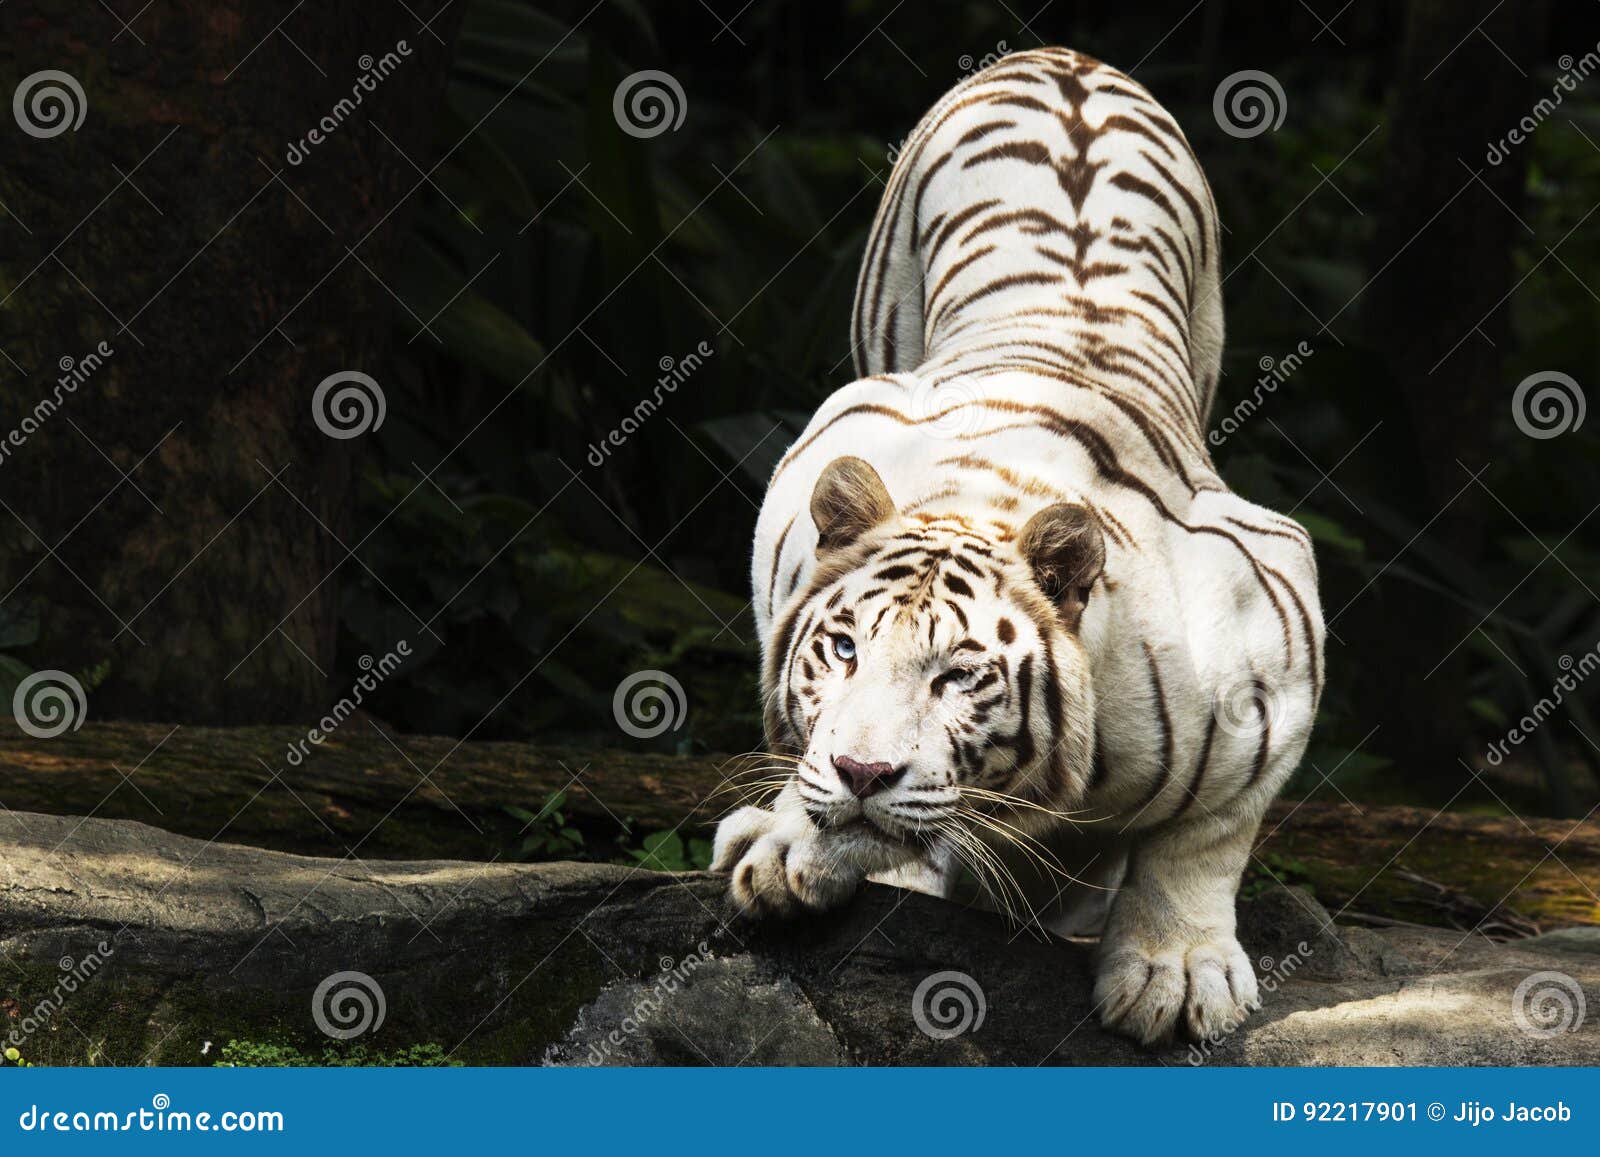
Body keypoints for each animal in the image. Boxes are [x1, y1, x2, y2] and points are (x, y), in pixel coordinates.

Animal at [710, 46, 1323, 1047]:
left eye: (958, 676)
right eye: (842, 649)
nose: (864, 771)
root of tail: (1066, 57)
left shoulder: (1274, 623)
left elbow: (1205, 833)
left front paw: (1177, 968)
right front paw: (792, 839)